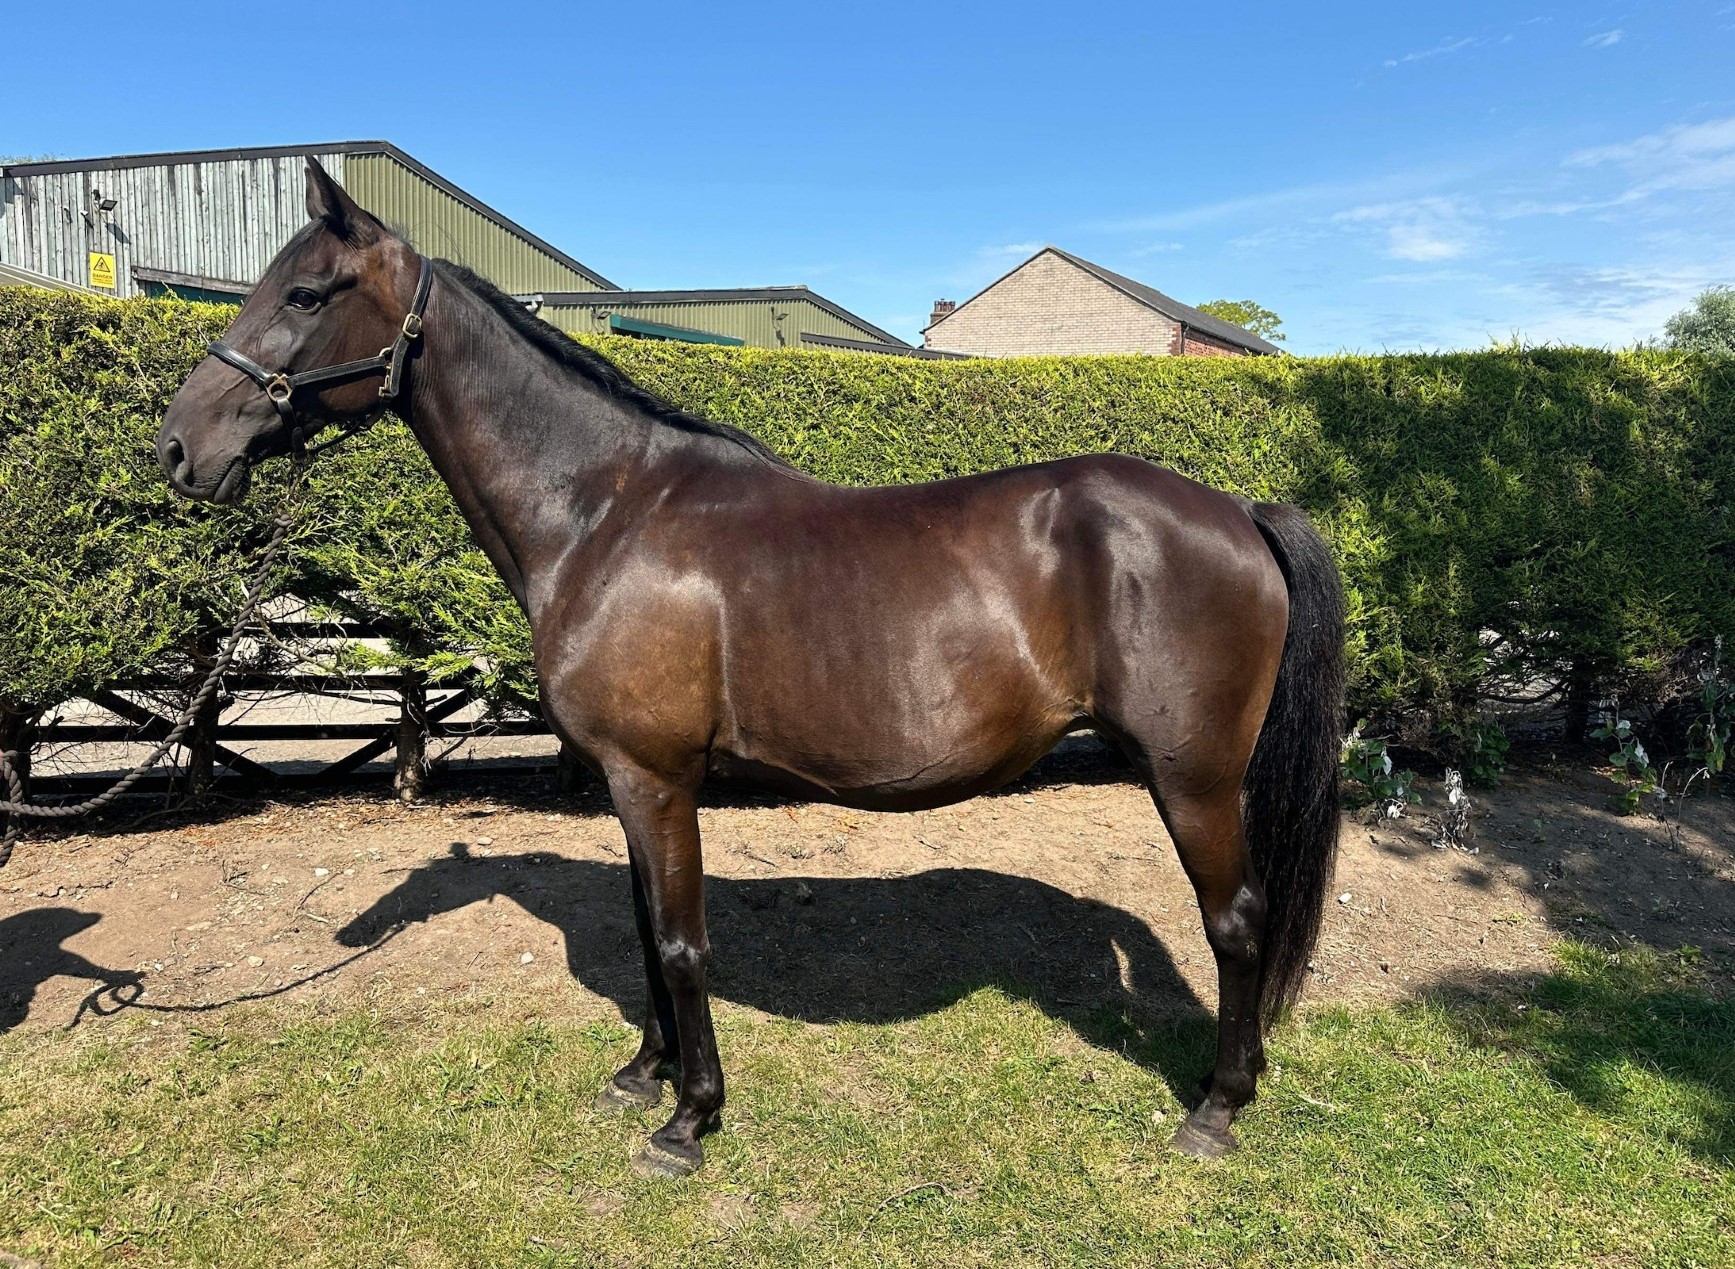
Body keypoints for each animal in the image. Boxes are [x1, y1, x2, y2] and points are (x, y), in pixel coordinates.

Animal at [157, 160, 1345, 1177]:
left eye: (306, 292)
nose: (178, 449)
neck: (604, 513)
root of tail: (1235, 510)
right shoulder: (631, 784)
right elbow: (645, 930)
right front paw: (643, 1074)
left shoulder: (654, 778)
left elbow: (683, 944)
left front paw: (689, 1120)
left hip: (1192, 777)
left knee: (1237, 920)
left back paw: (1216, 1108)